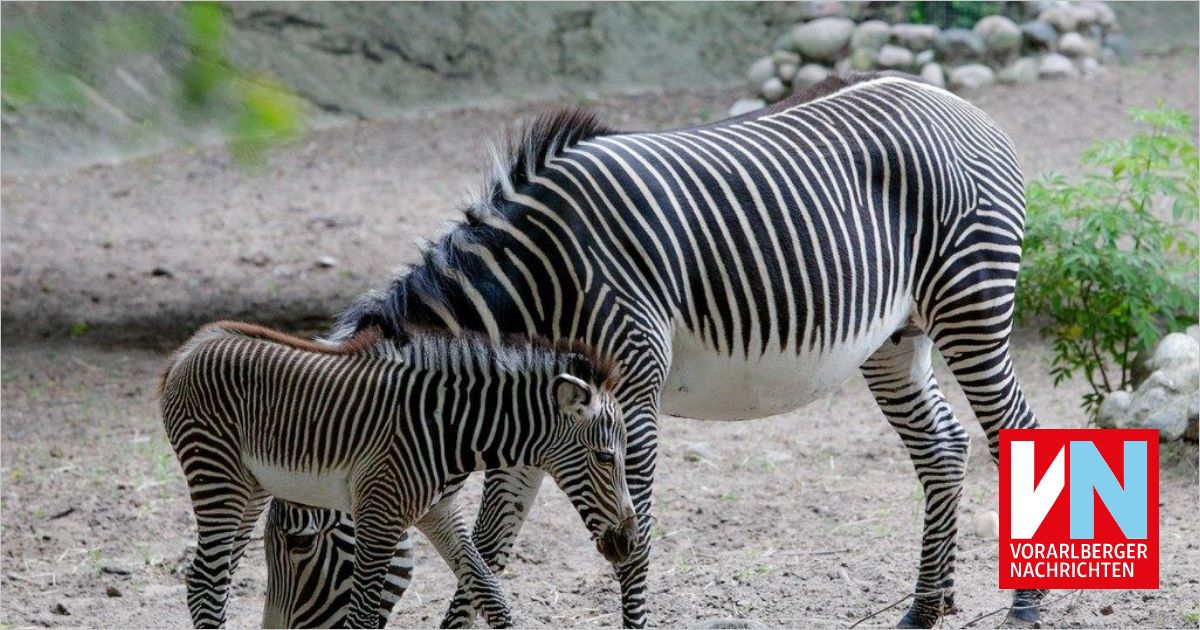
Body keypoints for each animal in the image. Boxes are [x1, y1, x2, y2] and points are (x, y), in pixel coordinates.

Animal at [159, 320, 638, 628]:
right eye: (605, 458)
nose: (627, 541)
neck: (449, 428)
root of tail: (190, 347)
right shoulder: (379, 514)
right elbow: (361, 617)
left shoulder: (438, 511)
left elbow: (490, 593)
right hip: (216, 475)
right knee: (205, 583)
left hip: (249, 487)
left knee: (213, 579)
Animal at [266, 71, 1046, 628]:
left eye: (301, 543)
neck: (541, 279)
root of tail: (955, 102)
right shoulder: (529, 417)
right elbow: (485, 553)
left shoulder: (632, 395)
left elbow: (632, 535)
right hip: (895, 337)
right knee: (942, 448)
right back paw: (923, 608)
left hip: (971, 303)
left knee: (1014, 430)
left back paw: (1025, 609)